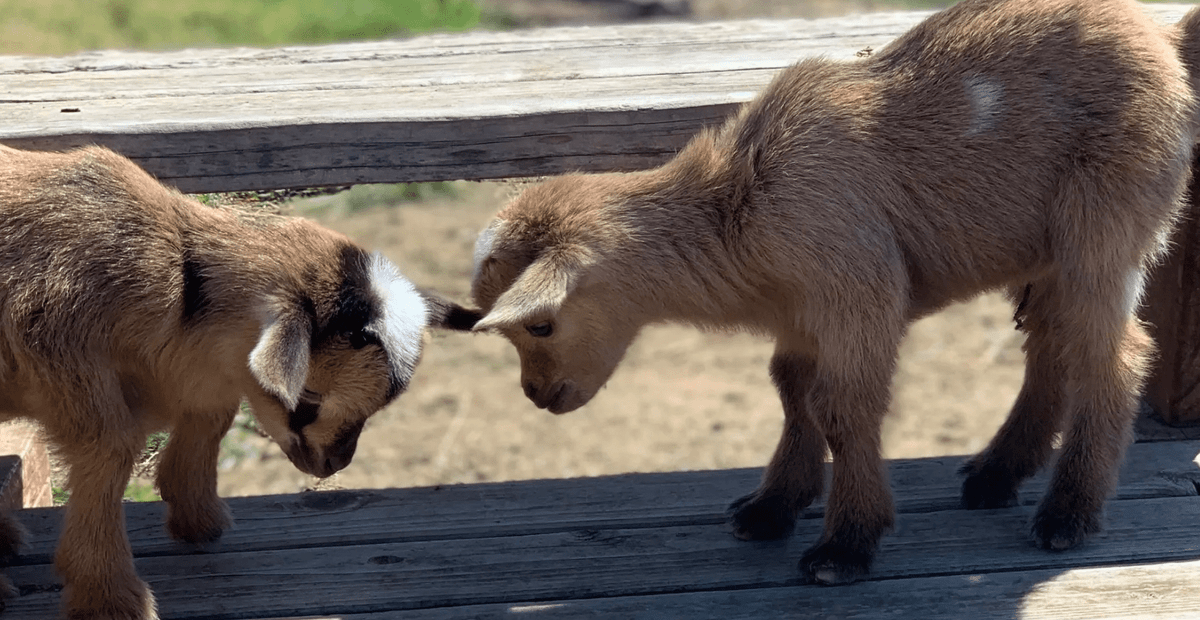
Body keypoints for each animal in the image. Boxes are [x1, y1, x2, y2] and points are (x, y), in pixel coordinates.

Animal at [0, 144, 479, 619]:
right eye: (308, 395)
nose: (333, 464)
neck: (181, 284)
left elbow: (212, 413)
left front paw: (198, 519)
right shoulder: (62, 353)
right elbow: (110, 449)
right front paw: (111, 597)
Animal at [470, 0, 1196, 585]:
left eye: (539, 324)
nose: (537, 396)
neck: (738, 207)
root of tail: (1161, 35)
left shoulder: (859, 293)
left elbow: (843, 411)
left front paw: (845, 546)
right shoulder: (801, 315)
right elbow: (794, 394)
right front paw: (770, 508)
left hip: (1107, 217)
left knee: (1113, 355)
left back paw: (1067, 513)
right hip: (1049, 247)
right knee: (1051, 341)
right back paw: (997, 473)